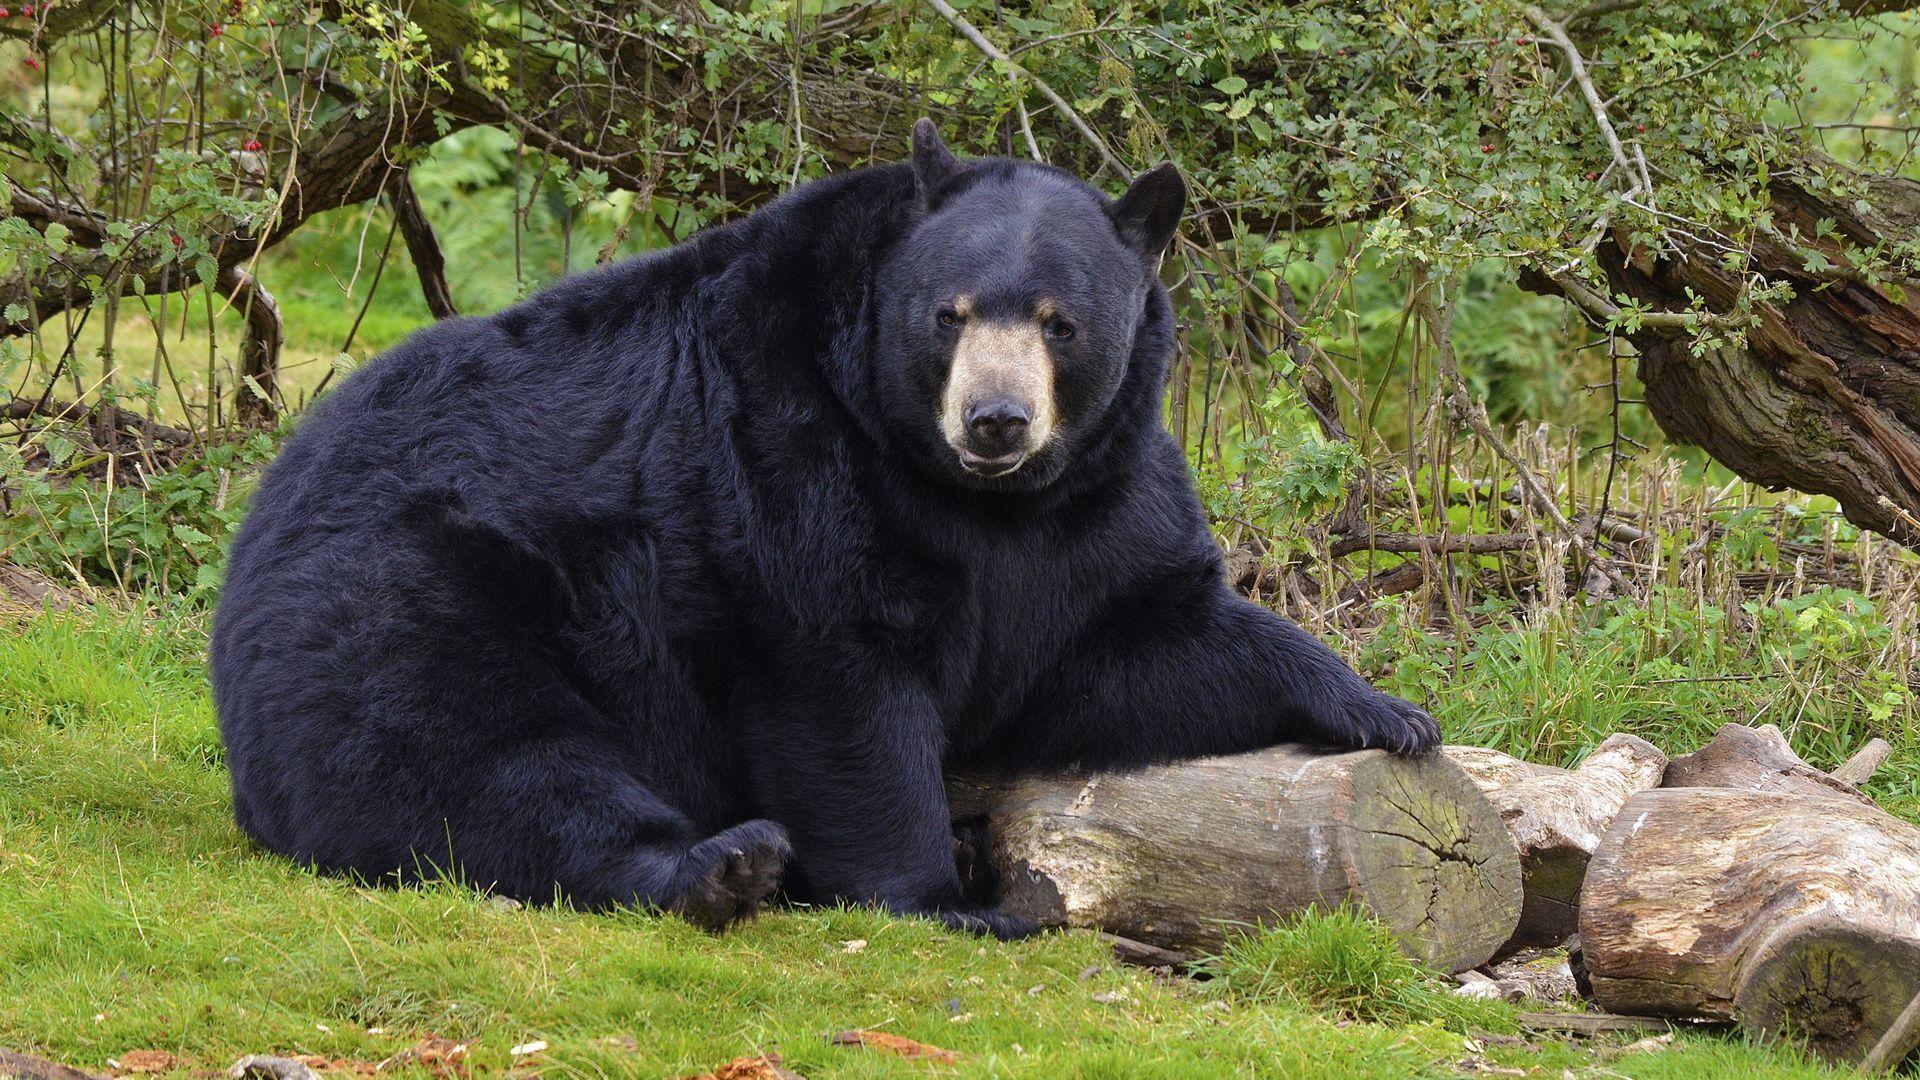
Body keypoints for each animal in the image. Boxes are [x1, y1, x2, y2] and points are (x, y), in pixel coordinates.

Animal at [210, 120, 1439, 939]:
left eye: (1061, 322)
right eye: (948, 314)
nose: (996, 419)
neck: (972, 496)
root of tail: (260, 522)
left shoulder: (1090, 508)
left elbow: (1122, 647)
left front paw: (1386, 712)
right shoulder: (785, 452)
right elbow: (842, 684)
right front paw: (942, 898)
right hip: (414, 587)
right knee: (474, 750)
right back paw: (721, 865)